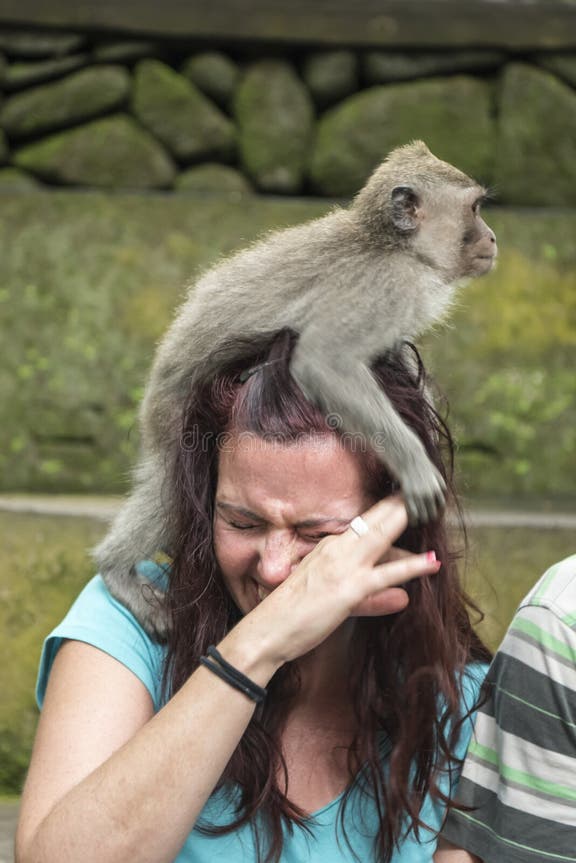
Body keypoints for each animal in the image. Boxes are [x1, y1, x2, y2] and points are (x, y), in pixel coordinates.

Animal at [93, 140, 497, 638]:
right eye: (474, 209)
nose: (493, 238)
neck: (391, 245)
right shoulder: (386, 286)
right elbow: (324, 361)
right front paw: (414, 464)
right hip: (171, 414)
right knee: (171, 489)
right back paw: (114, 567)